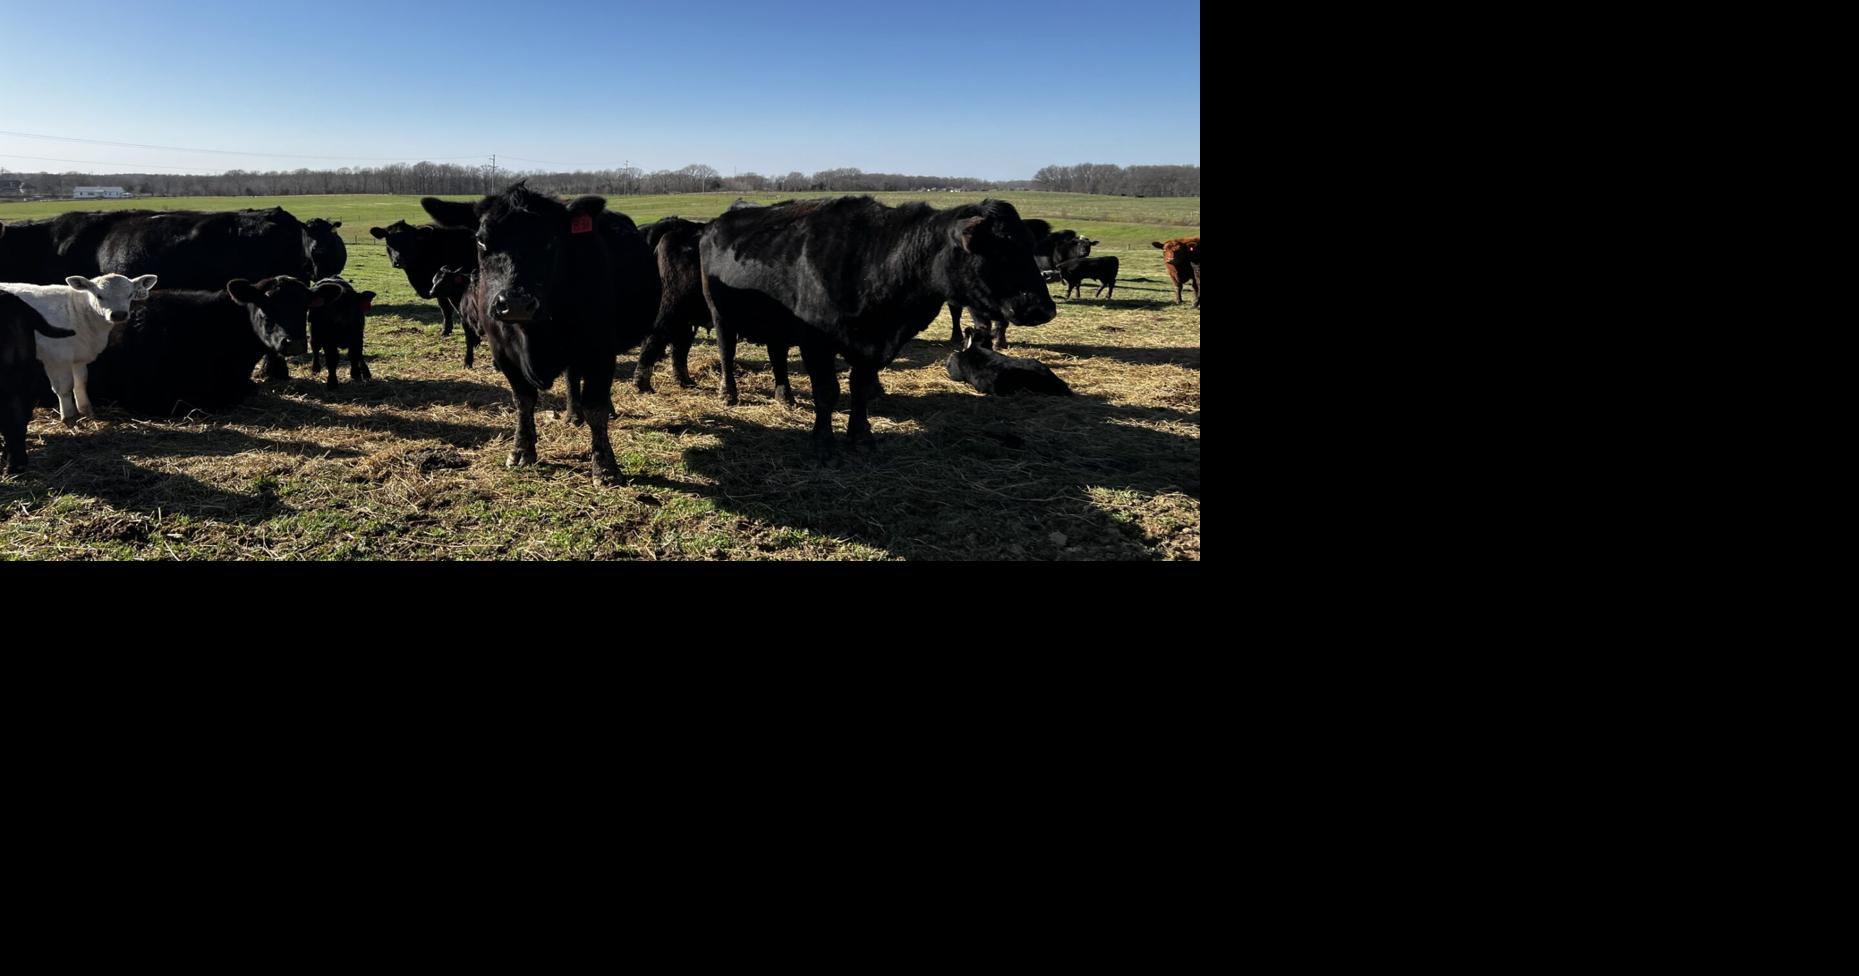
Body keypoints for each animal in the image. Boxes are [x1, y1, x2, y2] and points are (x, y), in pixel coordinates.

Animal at [0, 274, 157, 426]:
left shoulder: (79, 357)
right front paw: (69, 417)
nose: (119, 314)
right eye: (99, 296)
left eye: (130, 294)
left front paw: (86, 410)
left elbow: (81, 382)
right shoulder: (57, 358)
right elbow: (64, 387)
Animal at [421, 183, 659, 484]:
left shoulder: (600, 350)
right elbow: (523, 401)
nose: (515, 302)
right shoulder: (504, 354)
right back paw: (572, 415)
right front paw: (522, 451)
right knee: (571, 376)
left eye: (550, 240)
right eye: (481, 241)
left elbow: (596, 407)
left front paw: (605, 467)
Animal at [701, 195, 1056, 463]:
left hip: (776, 324)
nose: (1043, 308)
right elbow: (827, 392)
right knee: (727, 352)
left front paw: (861, 436)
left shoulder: (874, 347)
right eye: (998, 250)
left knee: (777, 354)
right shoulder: (817, 343)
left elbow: (860, 389)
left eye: (1029, 246)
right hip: (720, 314)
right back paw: (728, 393)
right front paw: (823, 442)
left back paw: (784, 396)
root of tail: (716, 223)